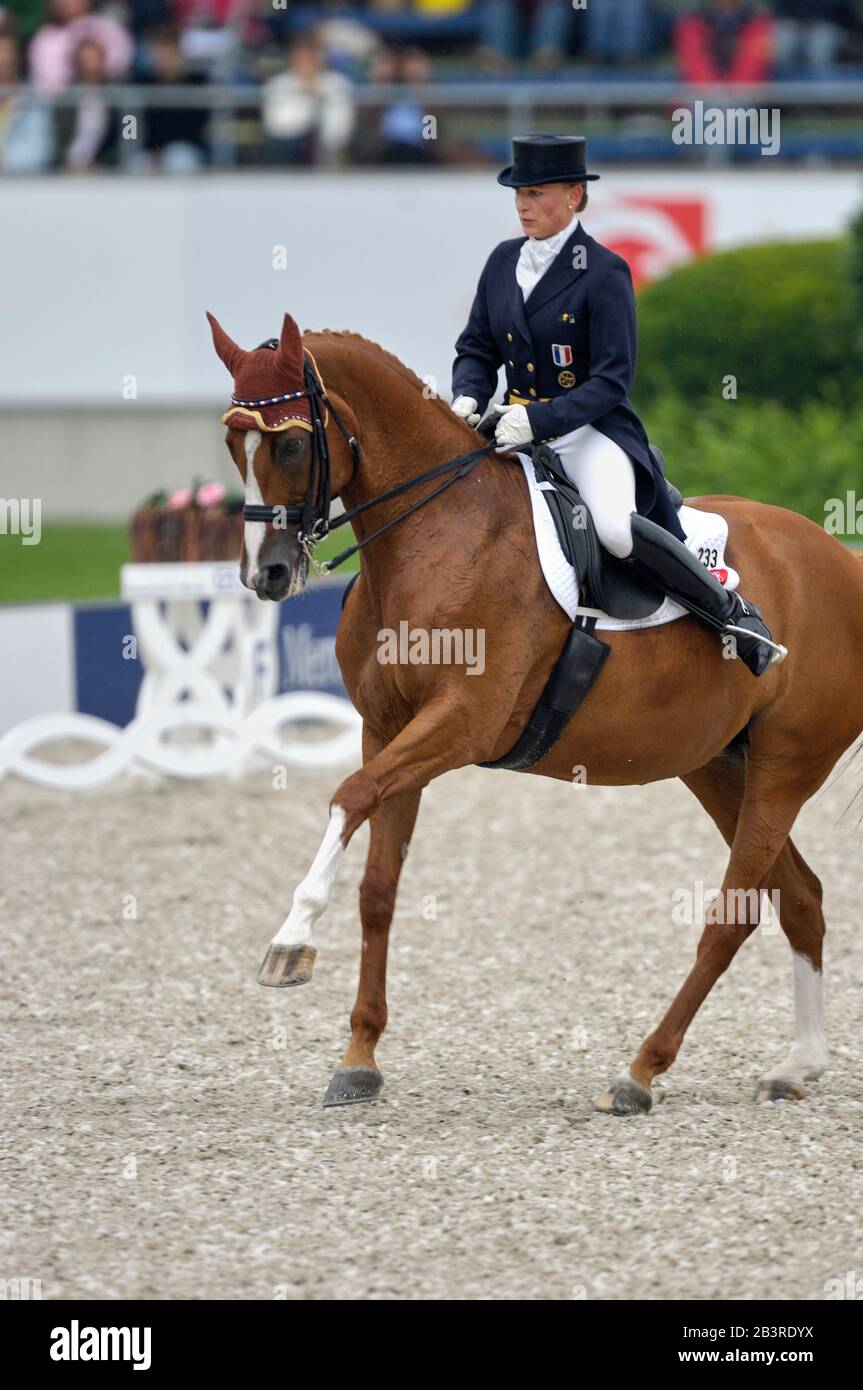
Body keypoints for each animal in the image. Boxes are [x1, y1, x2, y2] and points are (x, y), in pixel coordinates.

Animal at [209, 312, 863, 1115]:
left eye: (293, 444)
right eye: (231, 443)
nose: (265, 575)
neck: (433, 535)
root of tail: (840, 560)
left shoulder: (461, 723)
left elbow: (348, 796)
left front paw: (291, 940)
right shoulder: (386, 731)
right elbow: (378, 889)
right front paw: (358, 1058)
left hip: (785, 765)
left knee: (733, 912)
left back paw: (640, 1071)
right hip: (716, 765)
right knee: (799, 896)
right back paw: (799, 1064)